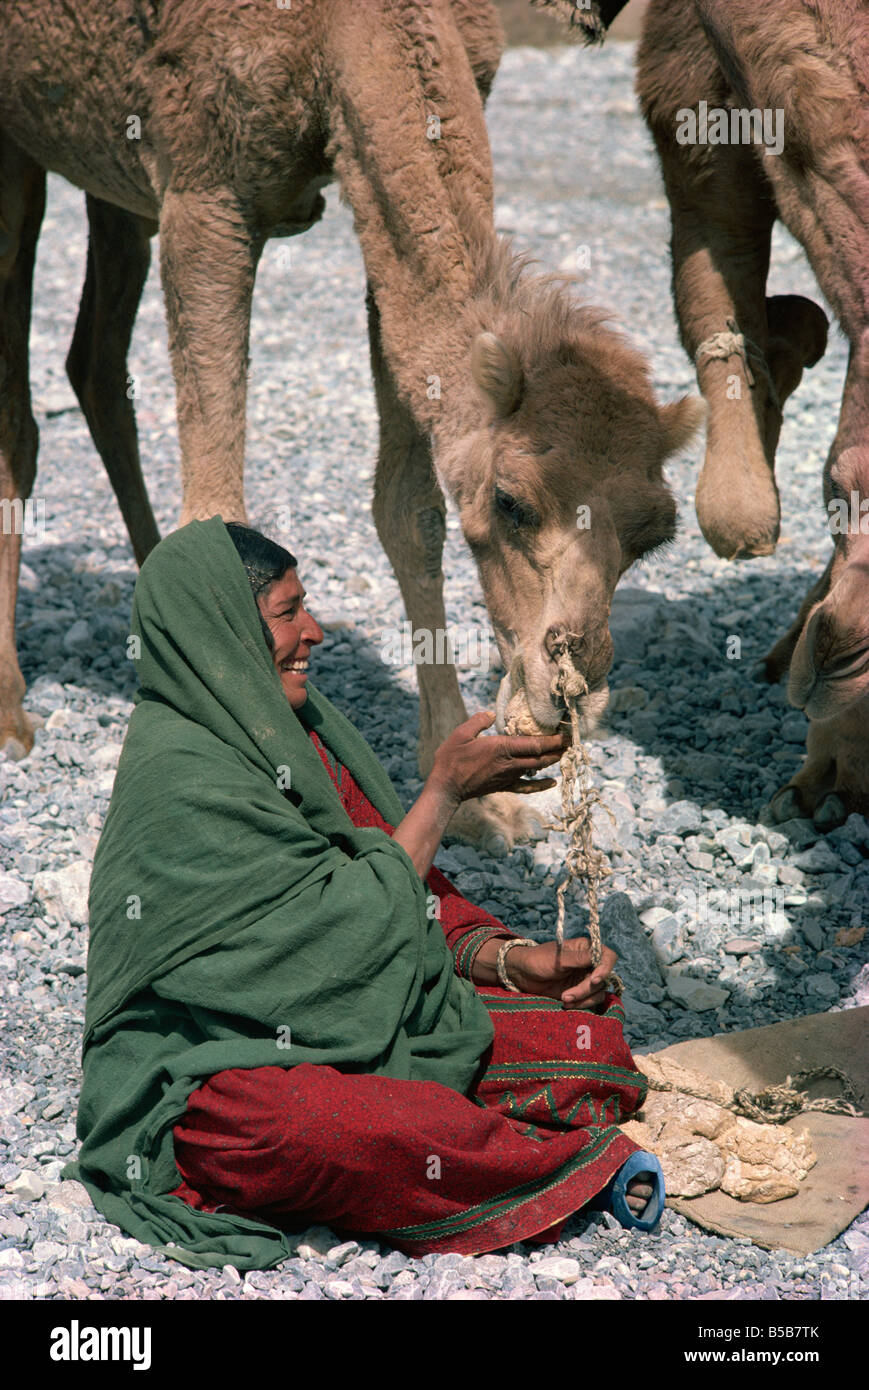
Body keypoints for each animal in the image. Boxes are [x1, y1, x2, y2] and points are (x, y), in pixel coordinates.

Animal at [0, 0, 702, 849]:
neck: (339, 30)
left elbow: (411, 509)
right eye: (511, 503)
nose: (569, 690)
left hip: (111, 186)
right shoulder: (206, 189)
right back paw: (12, 715)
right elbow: (216, 506)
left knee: (95, 366)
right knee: (21, 416)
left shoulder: (367, 179)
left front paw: (480, 805)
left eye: (654, 534)